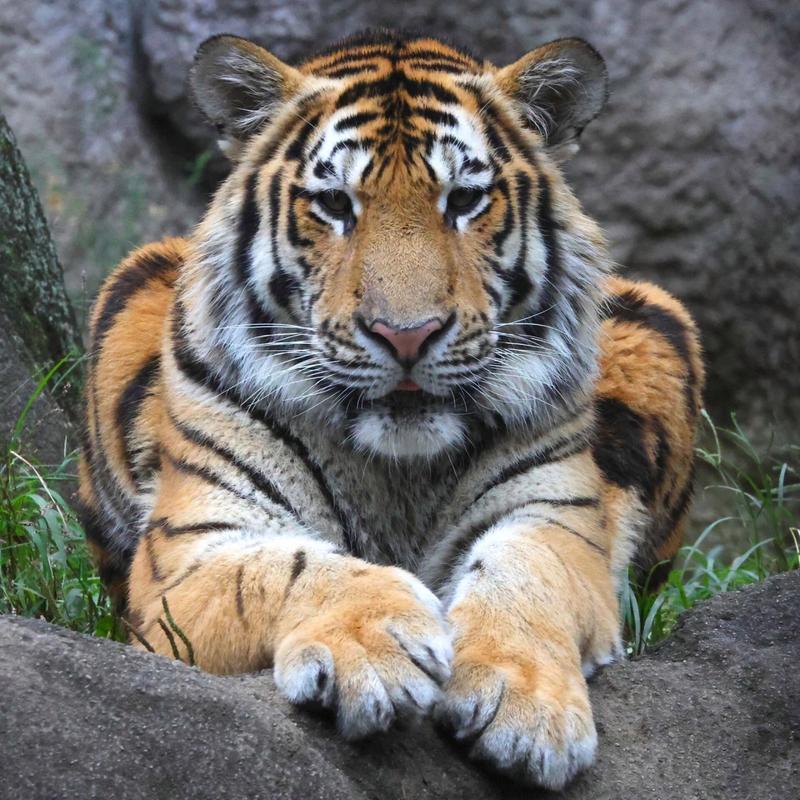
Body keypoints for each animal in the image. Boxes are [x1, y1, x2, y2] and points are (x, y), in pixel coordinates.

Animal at [77, 29, 703, 790]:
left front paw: (528, 712)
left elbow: (526, 575)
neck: (397, 470)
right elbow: (289, 569)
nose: (406, 334)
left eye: (464, 199)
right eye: (335, 204)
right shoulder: (190, 554)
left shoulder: (557, 518)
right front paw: (373, 649)